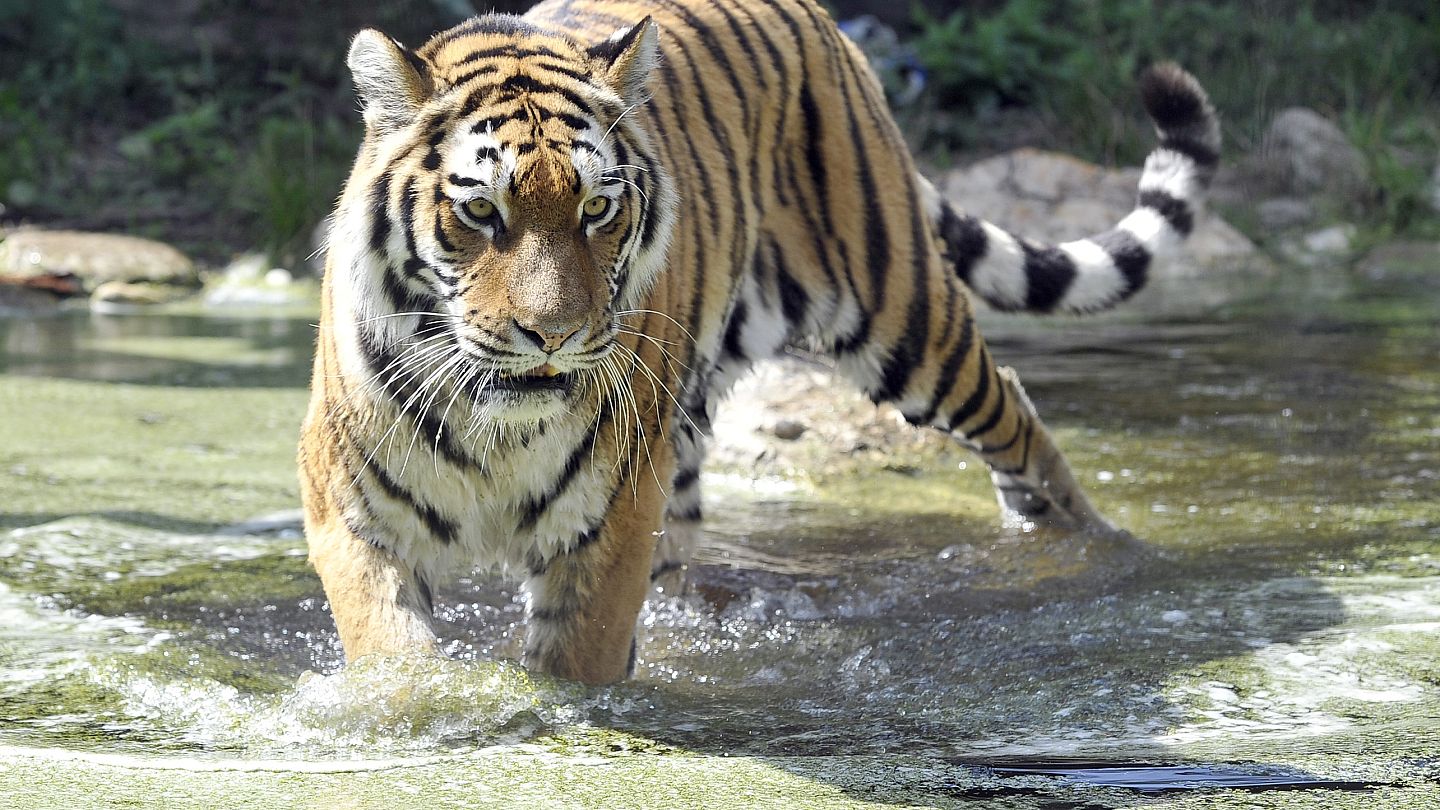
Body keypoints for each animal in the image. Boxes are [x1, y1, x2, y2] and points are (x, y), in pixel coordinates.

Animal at [298, 0, 1220, 685]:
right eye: (481, 210)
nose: (553, 335)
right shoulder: (349, 504)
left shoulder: (612, 514)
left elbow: (577, 660)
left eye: (597, 209)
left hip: (902, 319)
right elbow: (390, 650)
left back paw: (1087, 547)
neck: (498, 425)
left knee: (1016, 413)